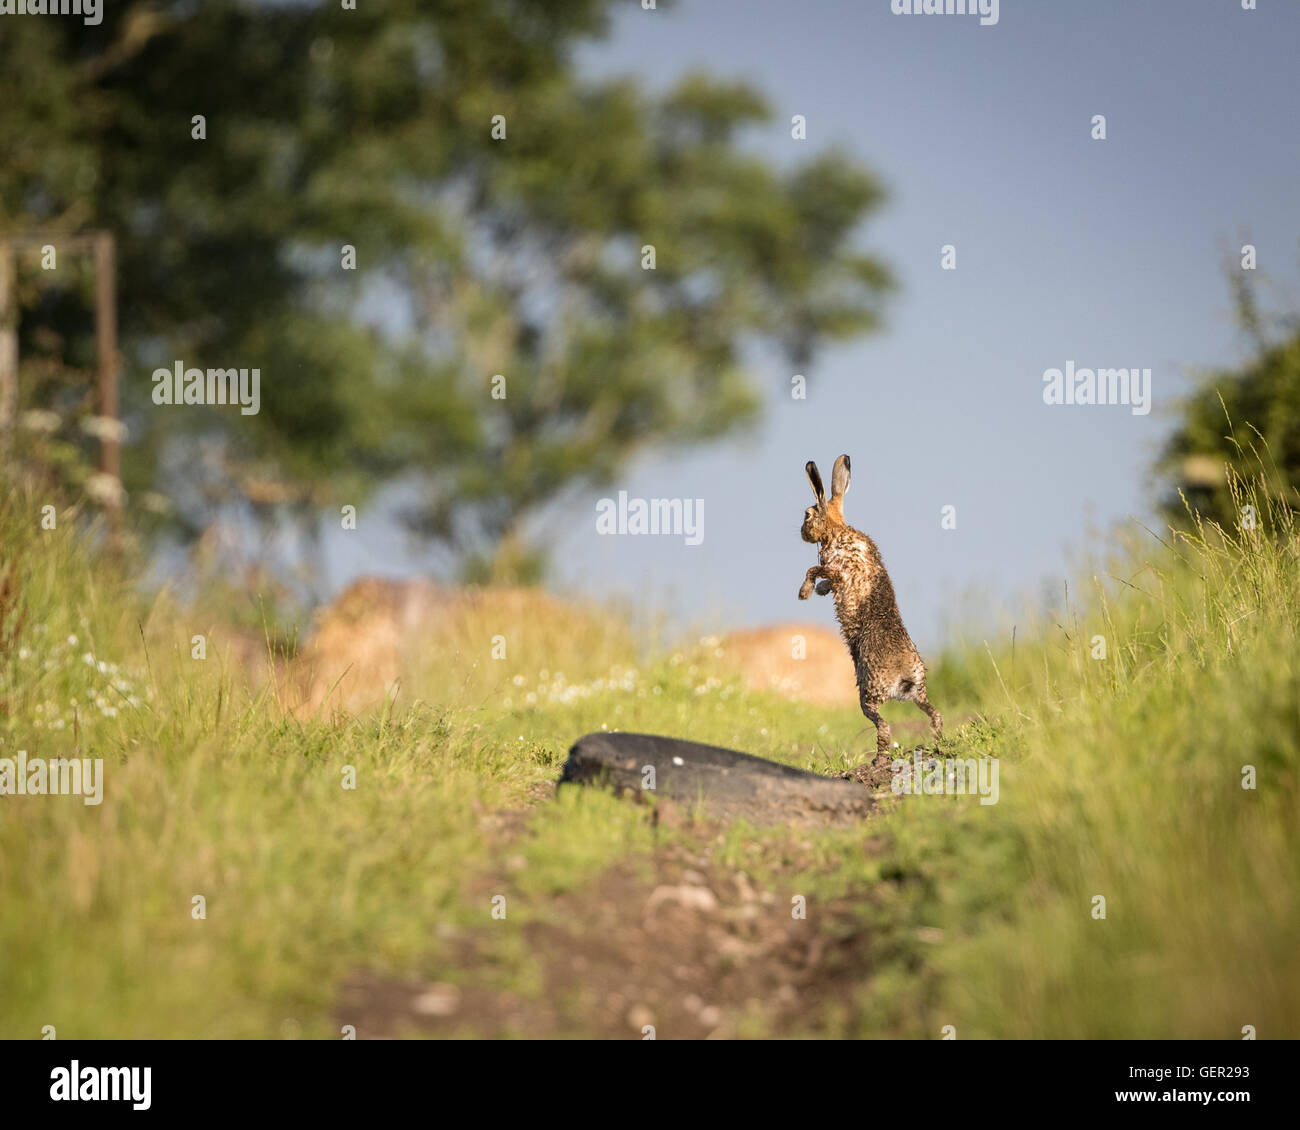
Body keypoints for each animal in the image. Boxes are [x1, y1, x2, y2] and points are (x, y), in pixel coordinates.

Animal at [797, 454, 942, 754]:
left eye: (807, 514)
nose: (801, 531)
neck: (837, 530)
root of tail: (904, 673)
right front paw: (820, 591)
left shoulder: (836, 570)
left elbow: (813, 570)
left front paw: (805, 593)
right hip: (919, 694)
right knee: (935, 715)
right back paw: (935, 743)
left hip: (867, 693)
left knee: (883, 728)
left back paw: (879, 759)